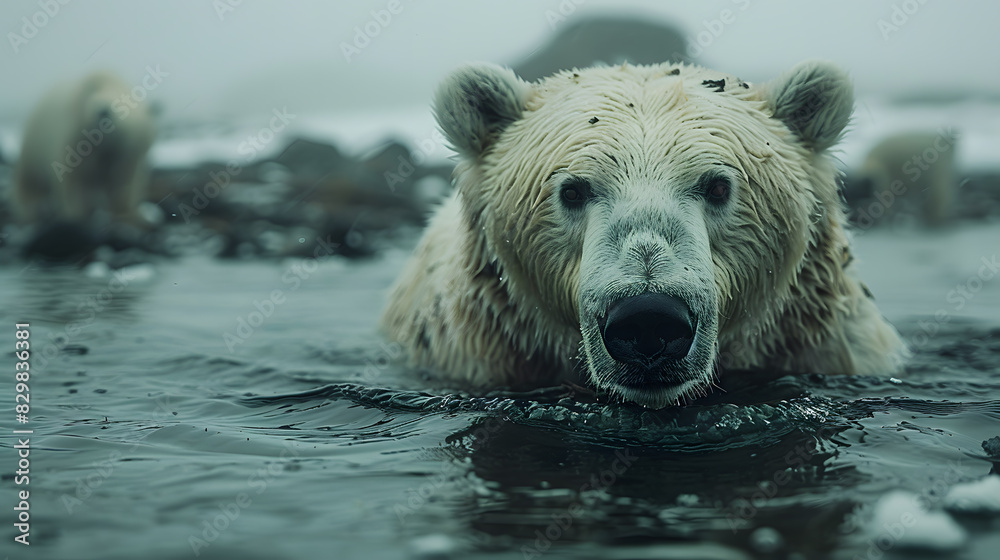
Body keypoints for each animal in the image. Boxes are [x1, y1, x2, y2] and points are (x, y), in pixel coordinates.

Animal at [13, 71, 155, 226]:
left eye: (121, 97)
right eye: (91, 94)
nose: (103, 110)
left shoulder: (128, 150)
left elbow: (124, 183)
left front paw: (131, 216)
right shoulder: (72, 143)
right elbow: (71, 182)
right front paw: (75, 217)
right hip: (33, 143)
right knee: (29, 180)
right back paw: (30, 211)